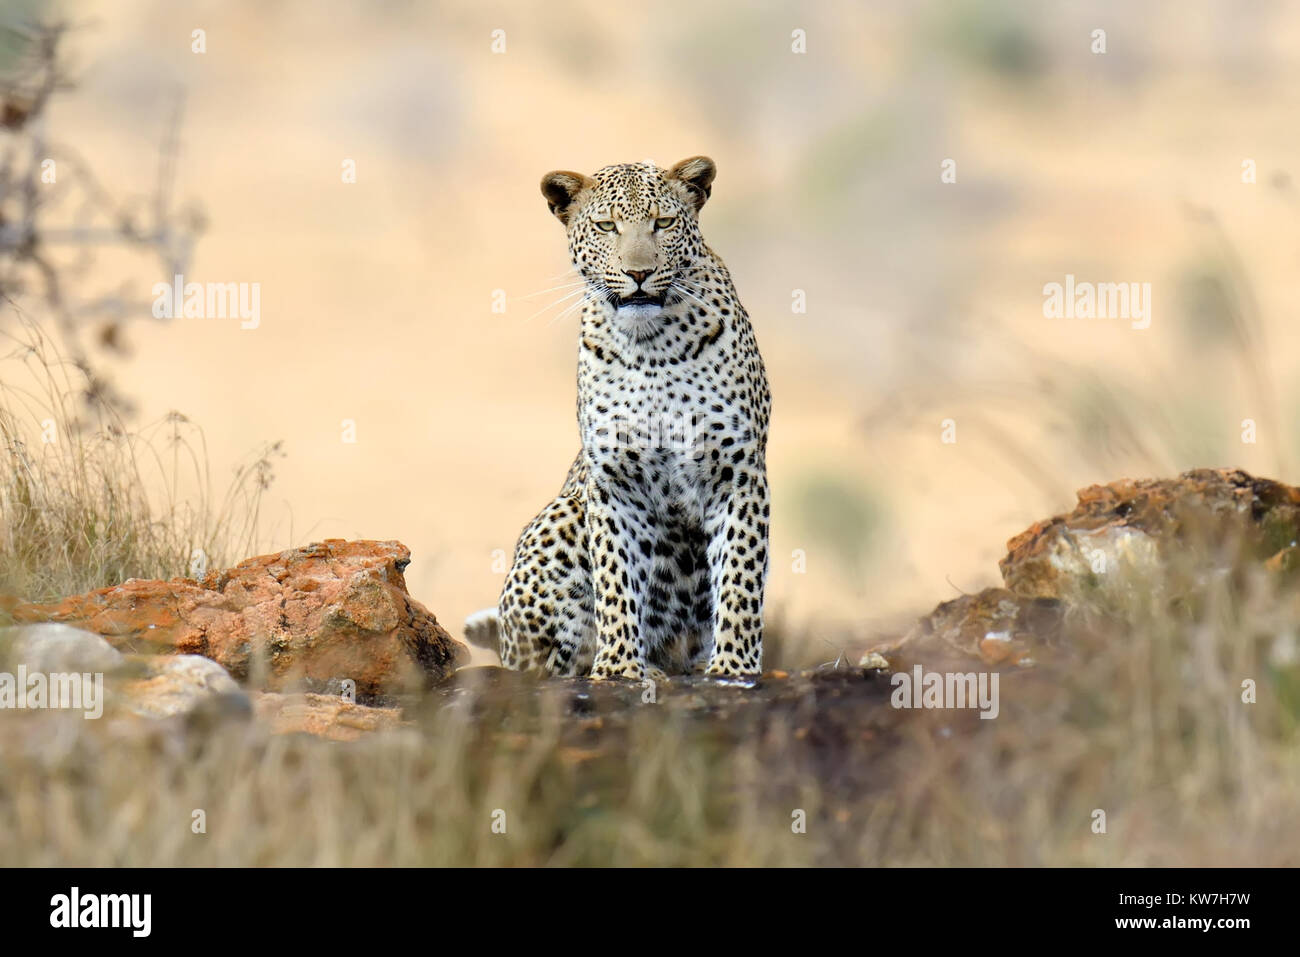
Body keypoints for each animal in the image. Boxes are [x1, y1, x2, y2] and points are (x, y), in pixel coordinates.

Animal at [464, 156, 770, 681]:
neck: (653, 347)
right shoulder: (612, 481)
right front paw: (619, 667)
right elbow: (615, 575)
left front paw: (733, 665)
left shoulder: (738, 473)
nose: (639, 273)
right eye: (607, 226)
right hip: (562, 513)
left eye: (663, 223)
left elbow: (740, 575)